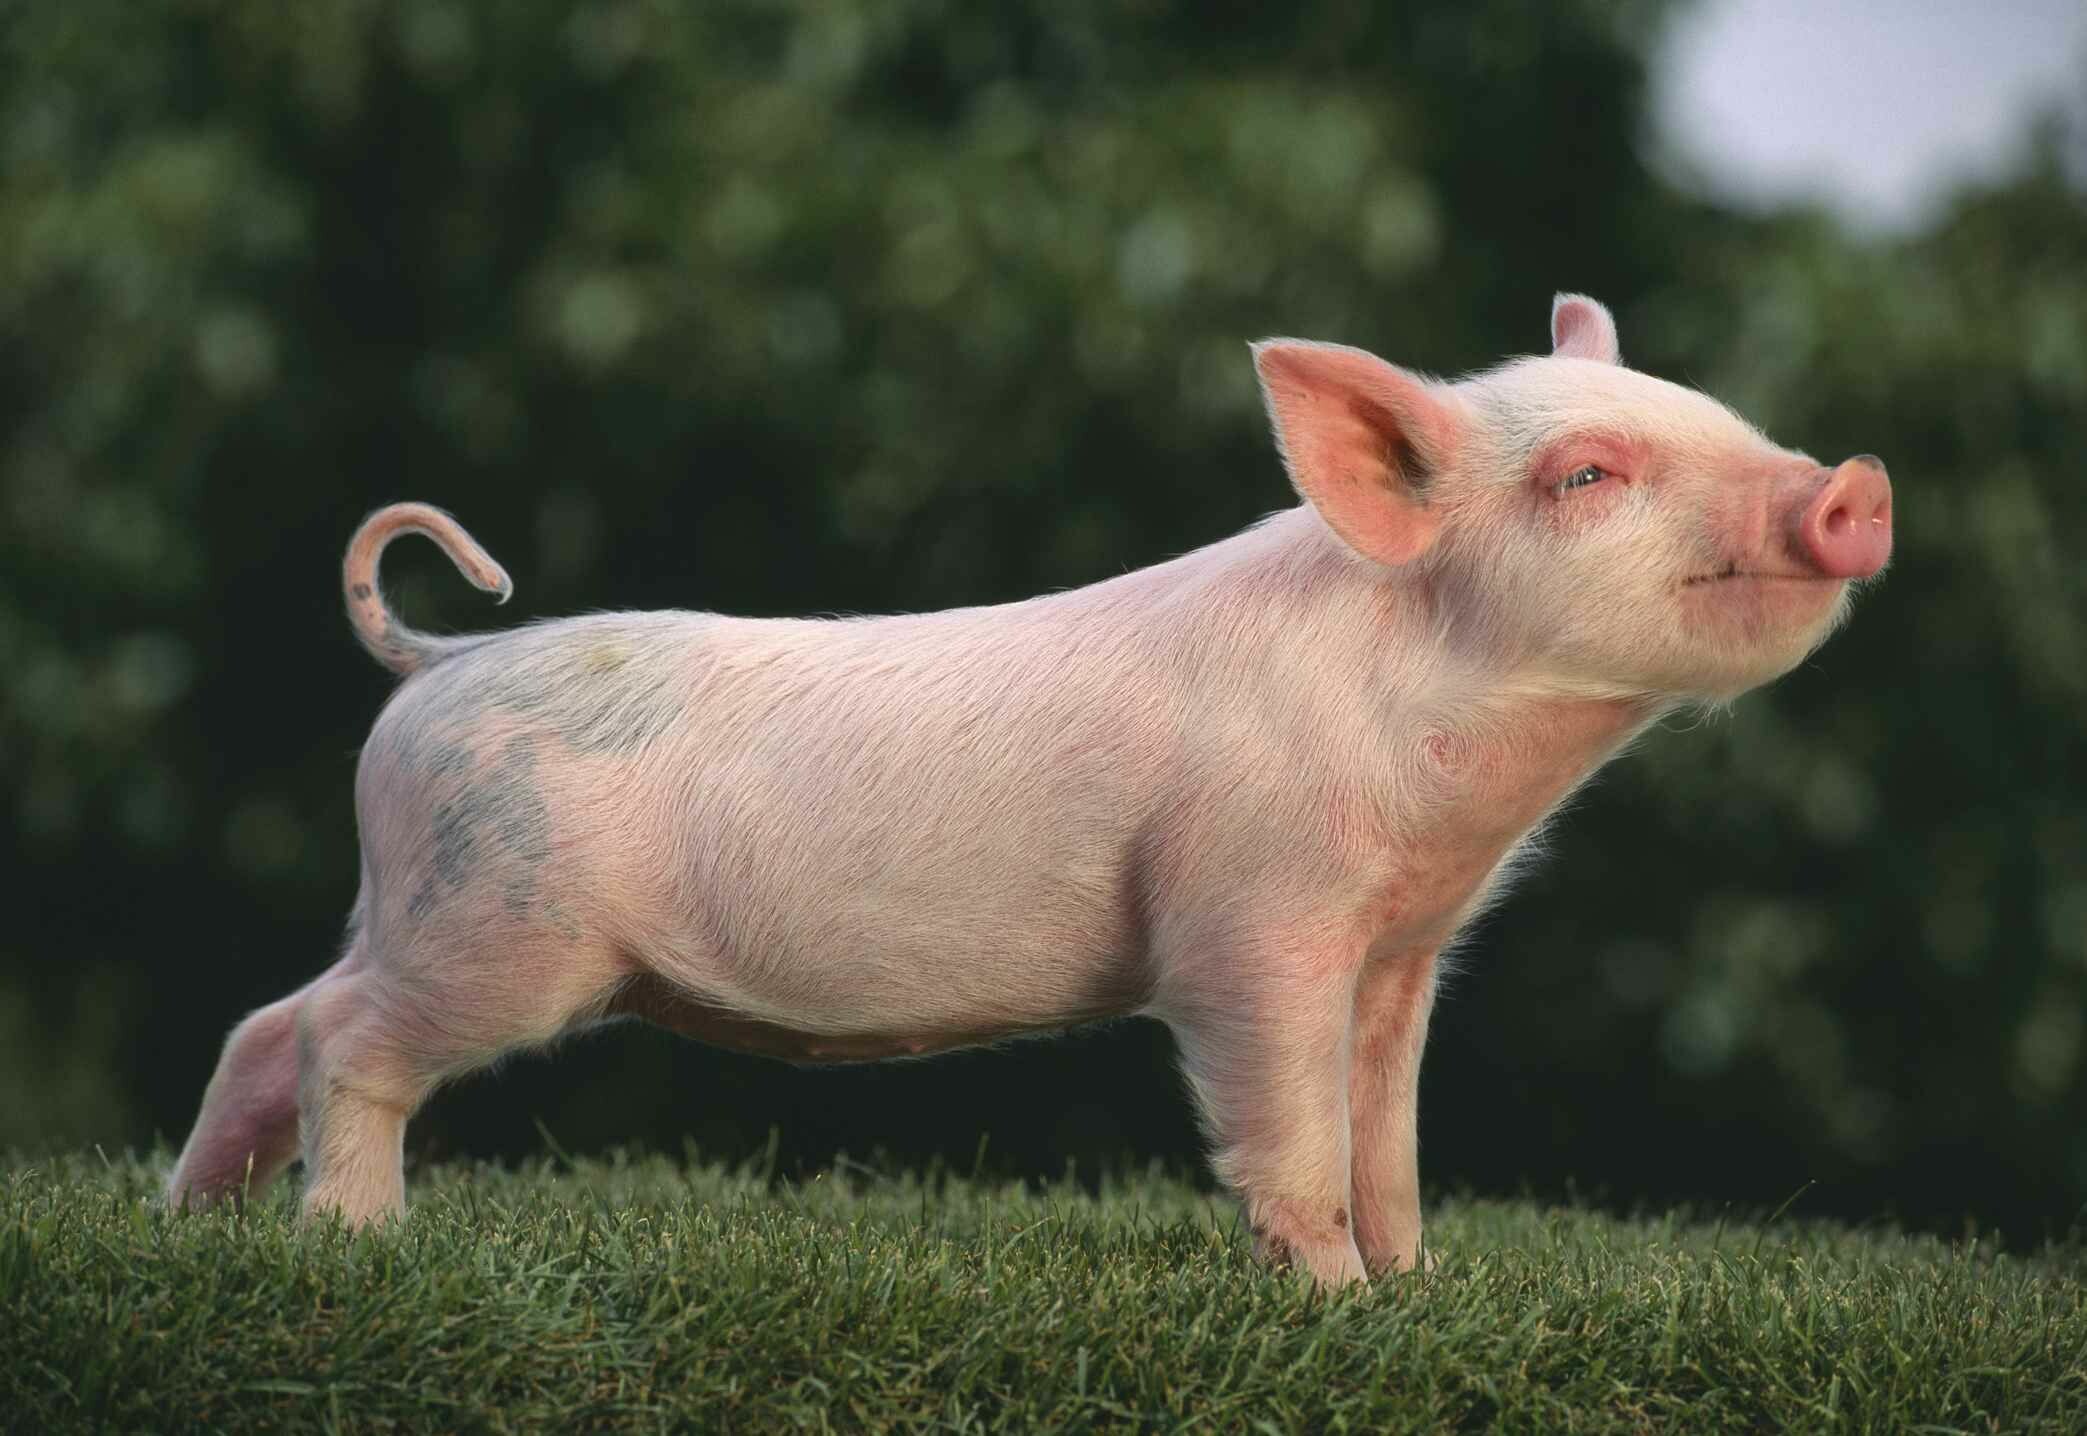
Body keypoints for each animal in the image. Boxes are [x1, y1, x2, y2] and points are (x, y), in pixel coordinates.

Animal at [165, 295, 1892, 1285]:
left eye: (1723, 418)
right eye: (1584, 475)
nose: (1851, 485)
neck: (1468, 786)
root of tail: (437, 659)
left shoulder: (1405, 943)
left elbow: (1385, 1130)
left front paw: (1414, 1291)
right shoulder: (1247, 920)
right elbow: (1284, 1122)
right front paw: (1330, 1304)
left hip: (423, 897)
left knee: (265, 1020)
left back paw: (192, 1225)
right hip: (500, 919)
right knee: (338, 1037)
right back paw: (357, 1246)